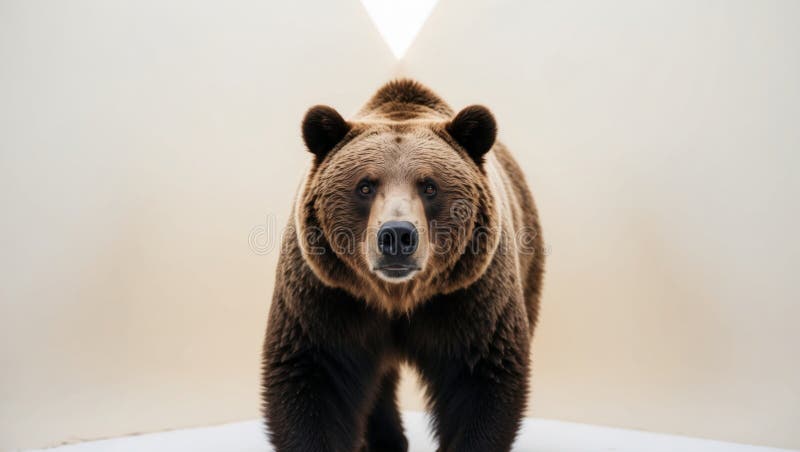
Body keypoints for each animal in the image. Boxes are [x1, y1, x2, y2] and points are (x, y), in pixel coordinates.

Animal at [262, 79, 544, 452]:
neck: (397, 297)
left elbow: (482, 378)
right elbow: (311, 377)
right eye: (365, 186)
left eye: (430, 186)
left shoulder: (470, 296)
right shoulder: (327, 295)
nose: (397, 235)